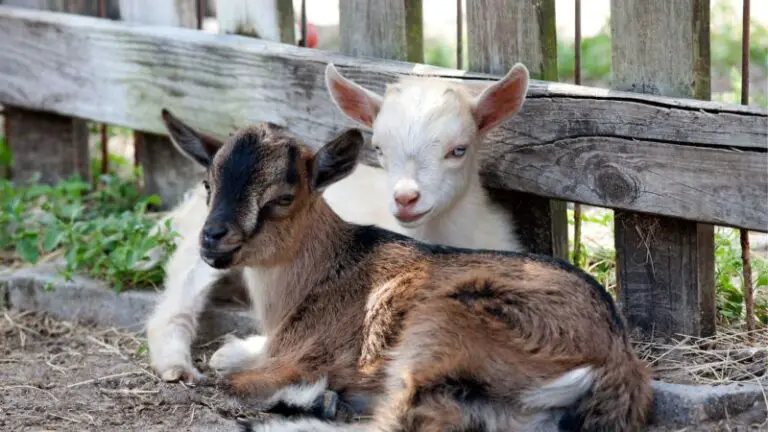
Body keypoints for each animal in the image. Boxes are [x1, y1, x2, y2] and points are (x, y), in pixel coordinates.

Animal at [158, 109, 652, 431]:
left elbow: (228, 382)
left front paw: (310, 394)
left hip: (442, 326)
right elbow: (227, 358)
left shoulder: (313, 354)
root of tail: (615, 361)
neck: (328, 270)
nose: (212, 239)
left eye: (282, 197)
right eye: (208, 184)